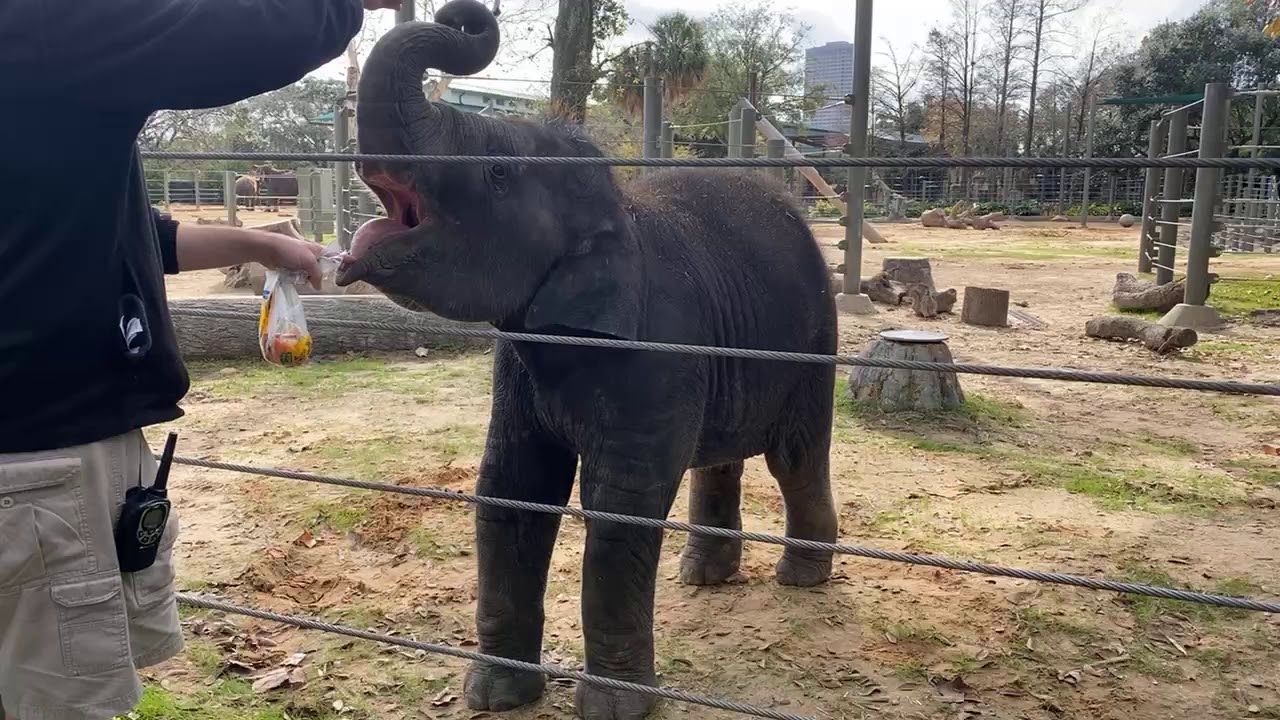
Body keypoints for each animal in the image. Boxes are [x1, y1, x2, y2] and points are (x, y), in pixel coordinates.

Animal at [335, 2, 839, 718]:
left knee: (794, 455)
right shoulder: (520, 365)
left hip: (813, 338)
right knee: (722, 456)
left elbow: (619, 506)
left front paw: (611, 708)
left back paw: (801, 578)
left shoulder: (656, 354)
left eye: (497, 173)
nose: (463, 18)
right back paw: (703, 577)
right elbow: (513, 485)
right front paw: (494, 697)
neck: (617, 211)